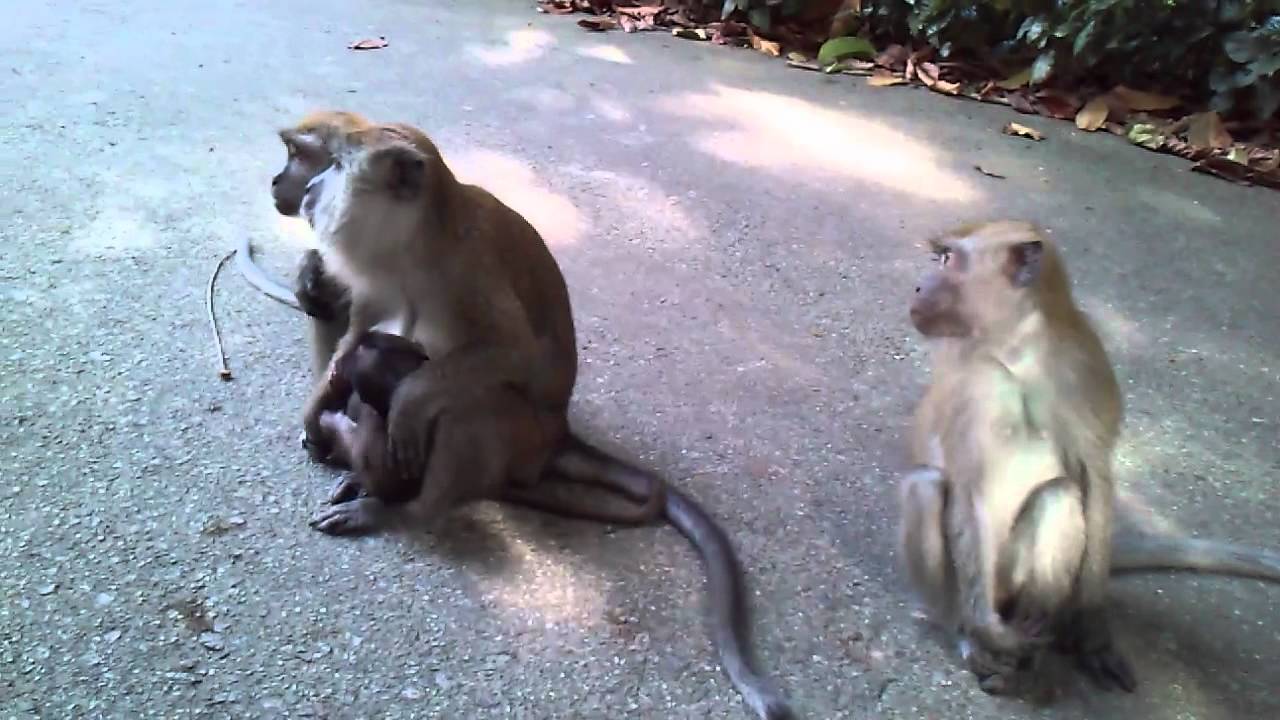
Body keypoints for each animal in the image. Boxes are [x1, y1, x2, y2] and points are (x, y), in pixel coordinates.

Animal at [268, 112, 793, 720]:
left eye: (328, 163)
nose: (302, 187)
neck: (414, 243)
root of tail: (557, 433)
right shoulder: (375, 278)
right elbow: (354, 338)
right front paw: (316, 412)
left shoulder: (467, 270)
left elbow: (512, 352)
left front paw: (409, 402)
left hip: (522, 435)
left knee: (472, 405)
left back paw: (405, 507)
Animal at [900, 220, 1280, 698]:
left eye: (949, 259)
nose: (917, 285)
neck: (1017, 353)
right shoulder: (970, 380)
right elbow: (968, 489)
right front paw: (986, 633)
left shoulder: (1084, 366)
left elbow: (1094, 476)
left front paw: (1095, 634)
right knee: (925, 488)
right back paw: (977, 640)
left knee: (1059, 496)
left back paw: (1039, 637)